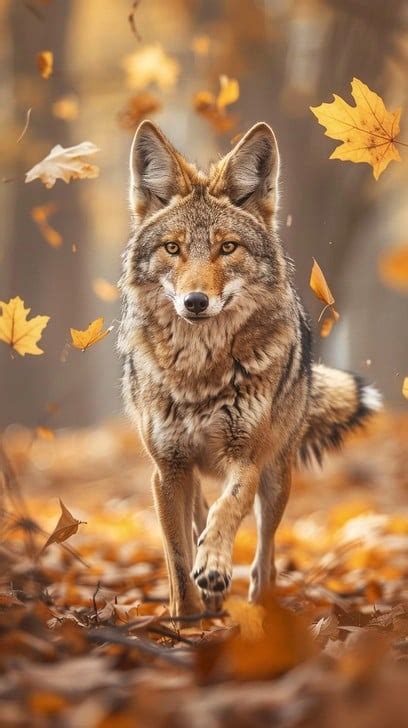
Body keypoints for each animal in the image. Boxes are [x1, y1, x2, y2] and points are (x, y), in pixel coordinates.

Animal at [118, 120, 381, 617]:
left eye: (228, 248)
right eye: (172, 248)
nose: (195, 302)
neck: (199, 371)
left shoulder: (247, 459)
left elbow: (228, 511)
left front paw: (215, 568)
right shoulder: (167, 471)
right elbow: (177, 557)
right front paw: (186, 619)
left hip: (277, 476)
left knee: (265, 554)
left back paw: (261, 606)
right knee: (200, 517)